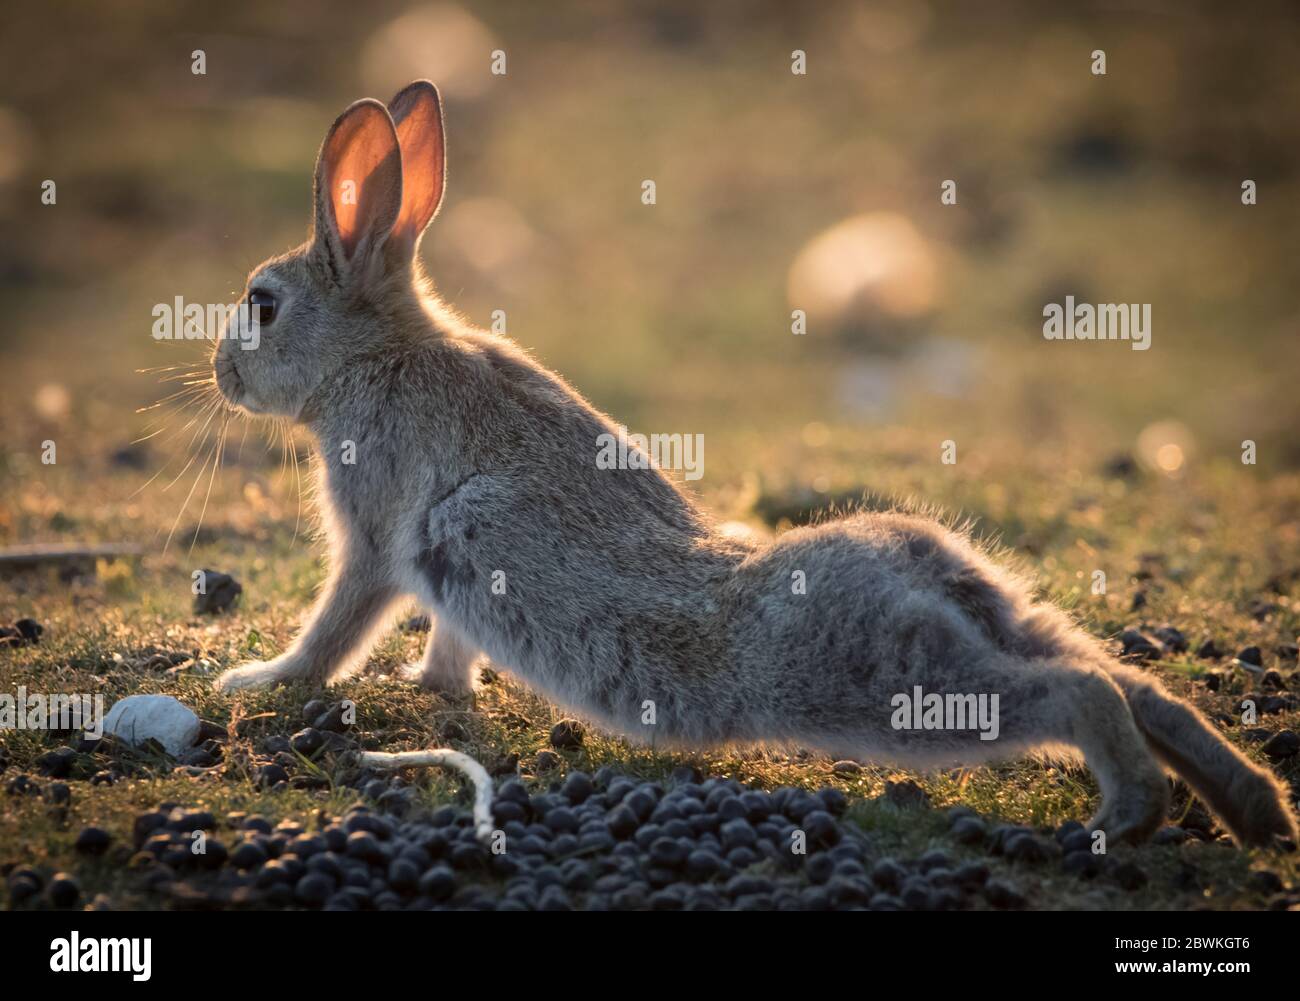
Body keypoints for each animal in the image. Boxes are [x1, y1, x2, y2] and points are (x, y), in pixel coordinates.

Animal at [211, 81, 1297, 847]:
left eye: (262, 304)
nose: (221, 371)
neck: (375, 350)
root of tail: (919, 566)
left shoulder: (378, 527)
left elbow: (339, 621)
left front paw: (257, 679)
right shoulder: (441, 560)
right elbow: (449, 633)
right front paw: (435, 683)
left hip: (875, 678)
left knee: (1076, 693)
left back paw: (1130, 814)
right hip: (988, 617)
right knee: (1129, 681)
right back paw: (1254, 810)